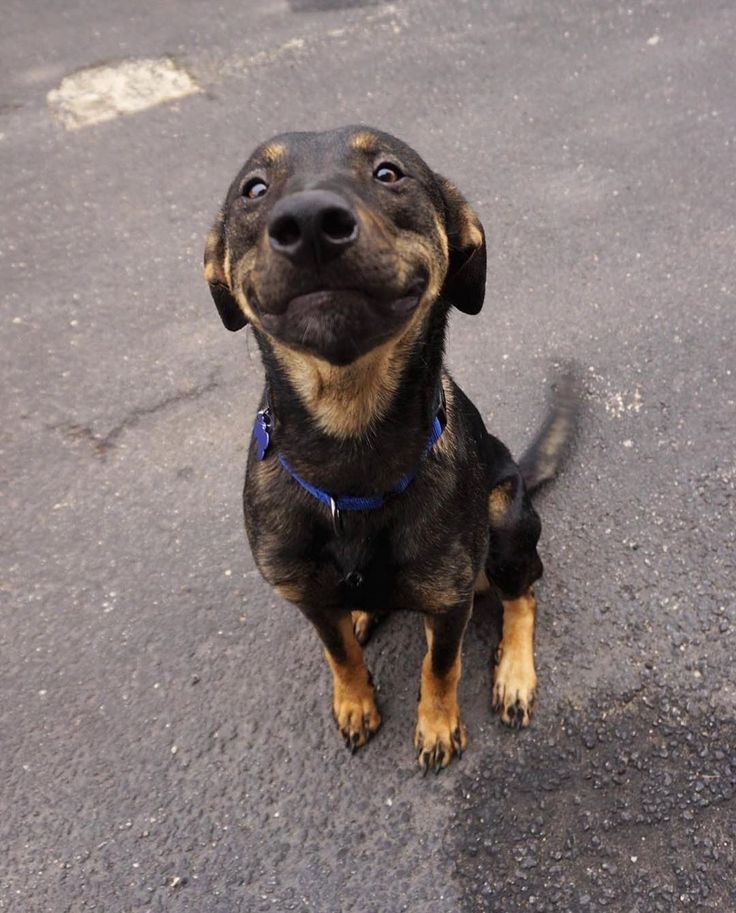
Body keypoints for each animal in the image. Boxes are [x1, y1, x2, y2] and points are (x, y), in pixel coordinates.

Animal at [204, 126, 576, 768]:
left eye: (388, 173)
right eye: (254, 188)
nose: (309, 222)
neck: (350, 452)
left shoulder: (449, 601)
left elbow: (441, 666)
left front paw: (437, 724)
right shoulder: (307, 597)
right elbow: (340, 655)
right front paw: (356, 702)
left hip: (504, 518)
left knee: (523, 595)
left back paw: (514, 675)